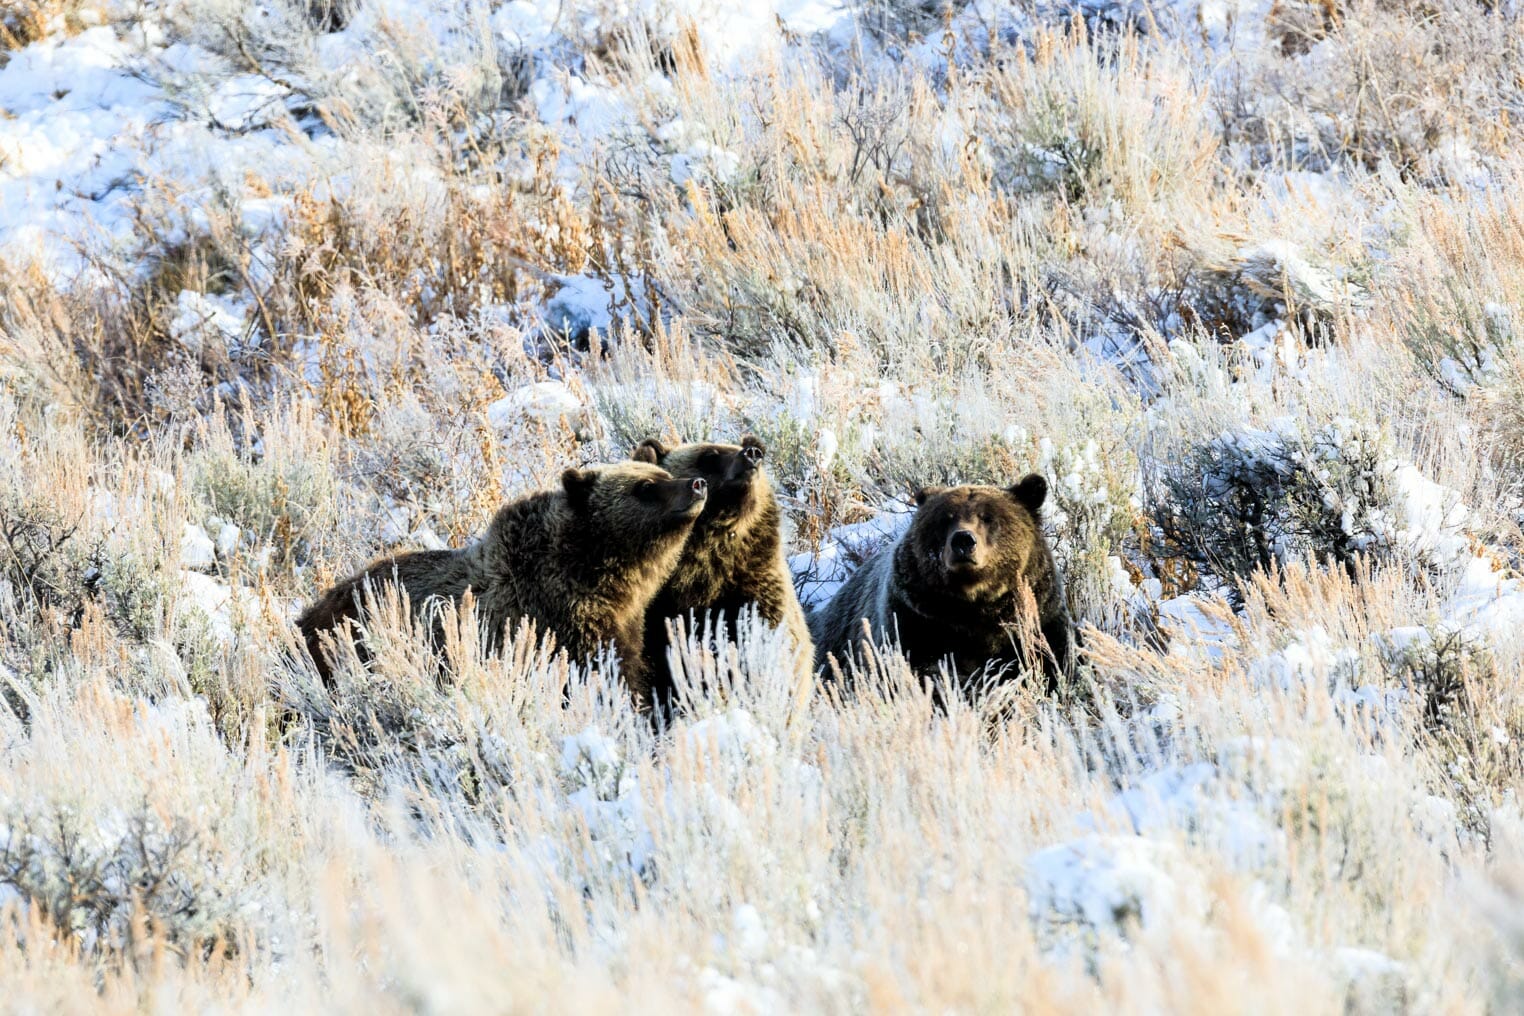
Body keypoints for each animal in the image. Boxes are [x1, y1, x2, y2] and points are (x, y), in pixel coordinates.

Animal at [296, 461, 708, 708]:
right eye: (645, 486)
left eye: (661, 473)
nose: (697, 483)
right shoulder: (557, 628)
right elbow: (607, 679)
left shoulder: (623, 624)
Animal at [808, 474, 1072, 693]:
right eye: (946, 519)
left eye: (988, 517)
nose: (963, 540)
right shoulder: (917, 618)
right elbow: (923, 670)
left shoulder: (1036, 618)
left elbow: (1051, 662)